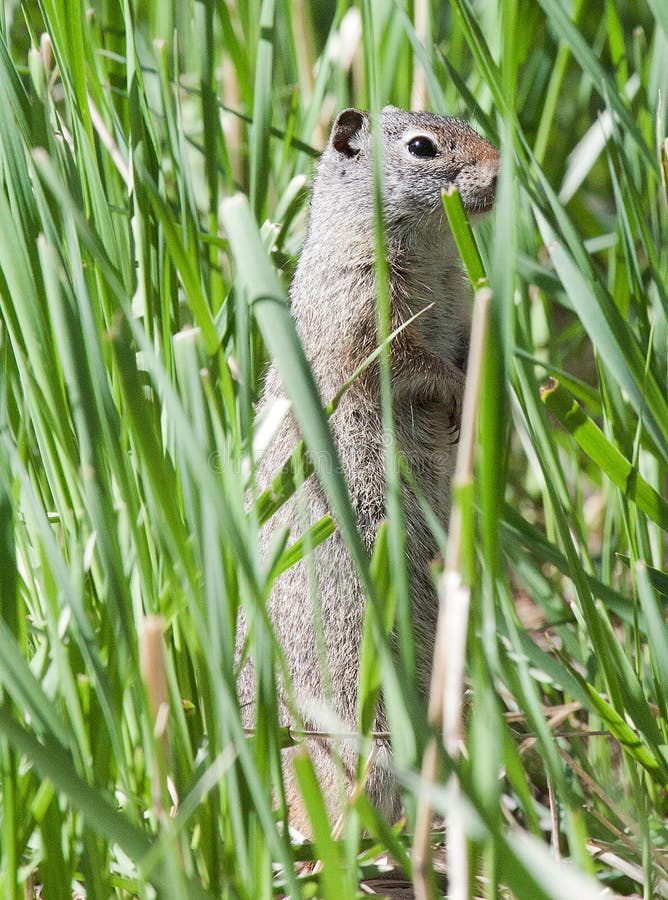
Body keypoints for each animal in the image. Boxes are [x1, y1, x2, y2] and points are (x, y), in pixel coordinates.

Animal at [236, 106, 499, 834]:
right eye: (422, 147)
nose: (500, 171)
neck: (432, 254)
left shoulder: (459, 306)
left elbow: (465, 346)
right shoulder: (367, 318)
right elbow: (413, 365)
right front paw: (455, 396)